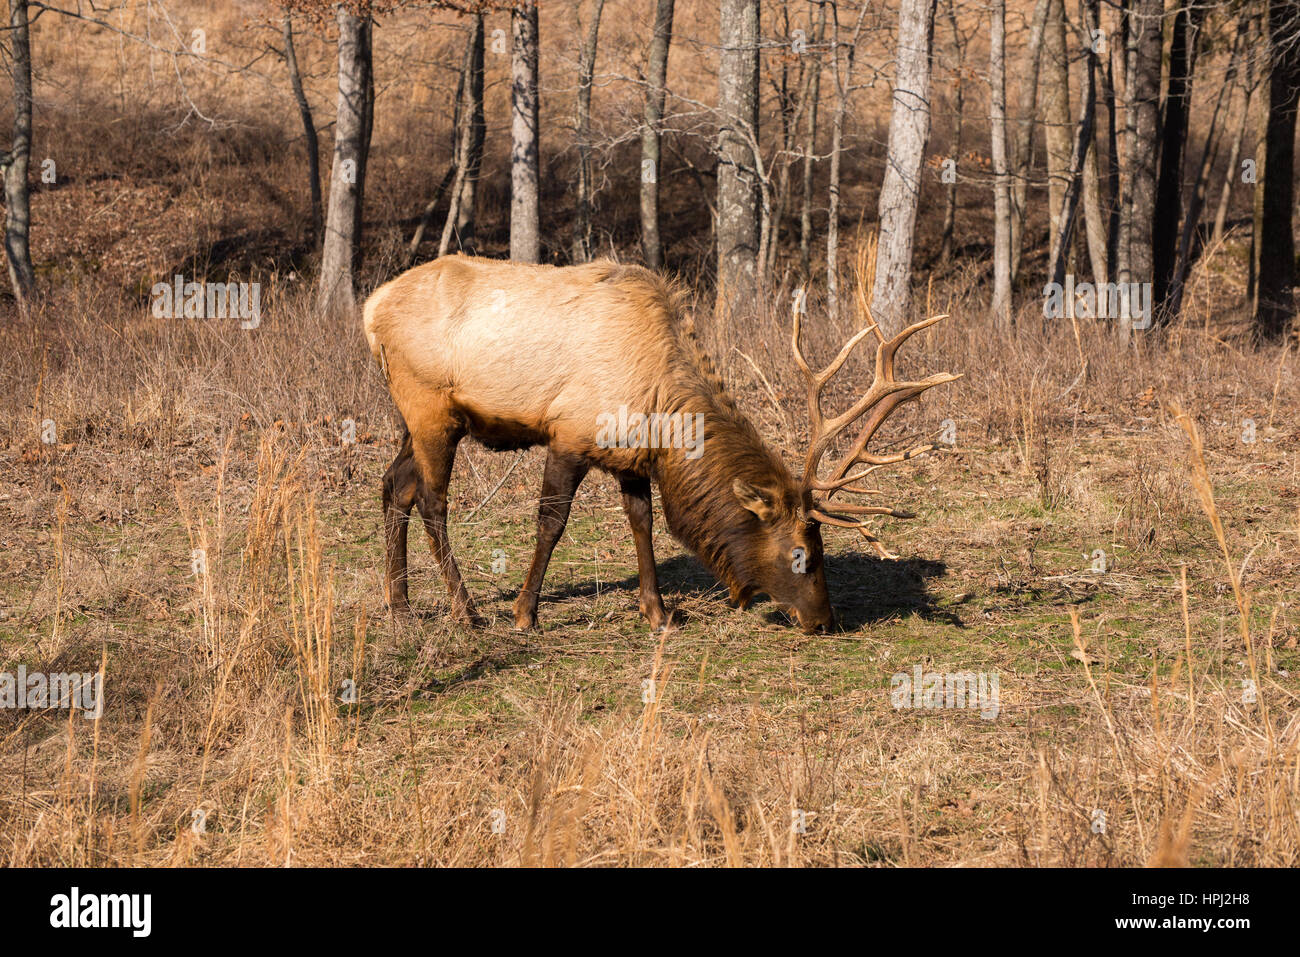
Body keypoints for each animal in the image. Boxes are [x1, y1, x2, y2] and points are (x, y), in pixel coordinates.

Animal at [362, 254, 959, 634]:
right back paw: (466, 612)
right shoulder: (570, 434)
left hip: (414, 416)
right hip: (430, 407)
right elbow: (551, 523)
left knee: (394, 484)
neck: (661, 406)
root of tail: (370, 309)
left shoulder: (630, 457)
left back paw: (400, 606)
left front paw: (660, 613)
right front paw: (525, 613)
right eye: (802, 554)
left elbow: (642, 523)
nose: (825, 621)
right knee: (432, 500)